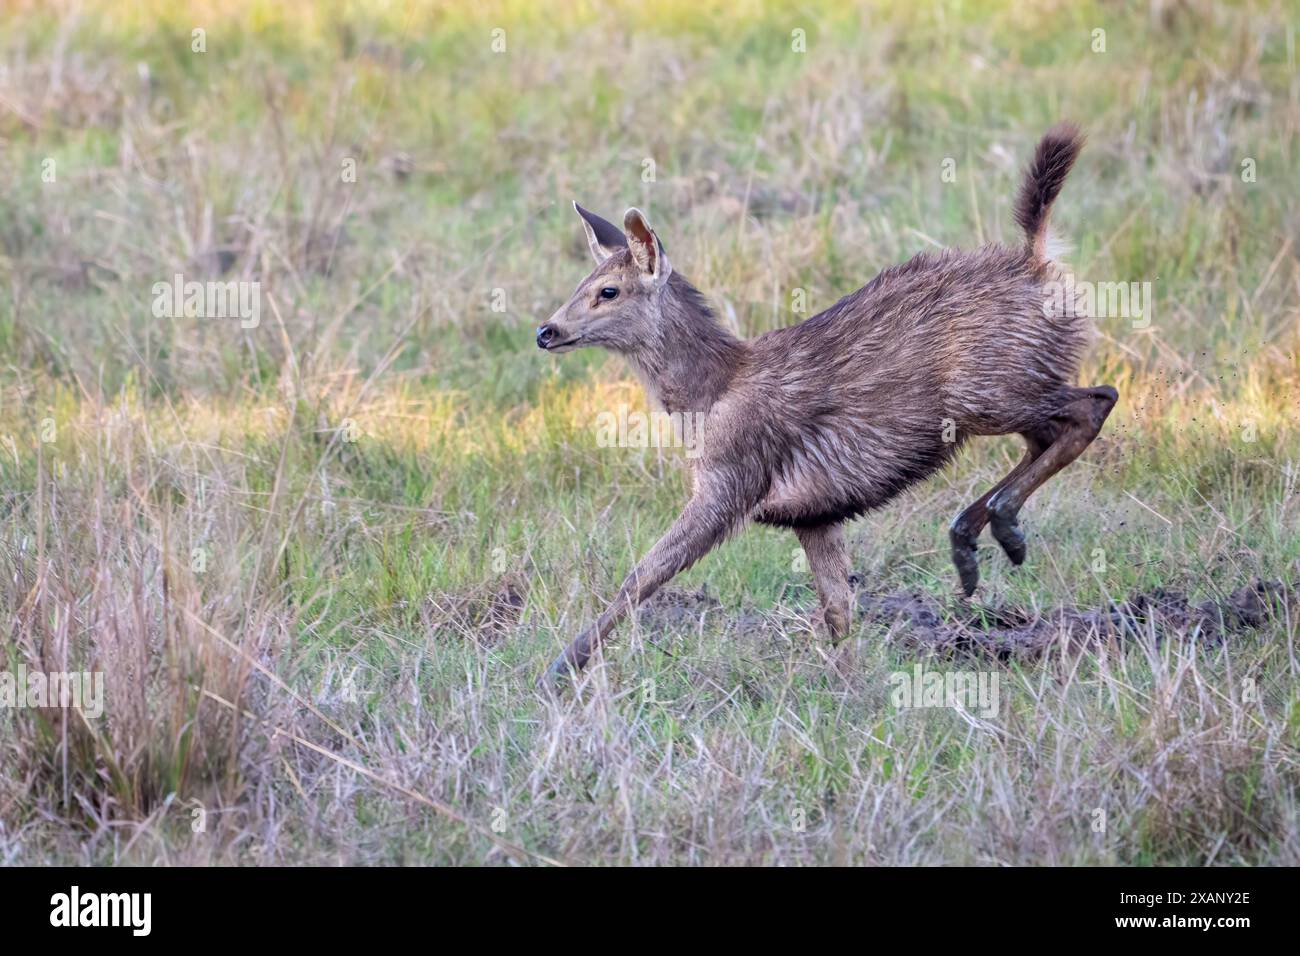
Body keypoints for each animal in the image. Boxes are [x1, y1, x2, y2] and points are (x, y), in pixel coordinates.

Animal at [536, 123, 1117, 686]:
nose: (546, 331)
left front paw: (557, 672)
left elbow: (643, 575)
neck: (707, 395)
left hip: (987, 389)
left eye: (608, 291)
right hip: (1009, 386)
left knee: (1095, 402)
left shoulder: (730, 482)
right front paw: (847, 685)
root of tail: (1040, 263)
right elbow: (838, 609)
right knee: (1056, 427)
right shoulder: (814, 511)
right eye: (581, 282)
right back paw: (971, 541)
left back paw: (1000, 527)